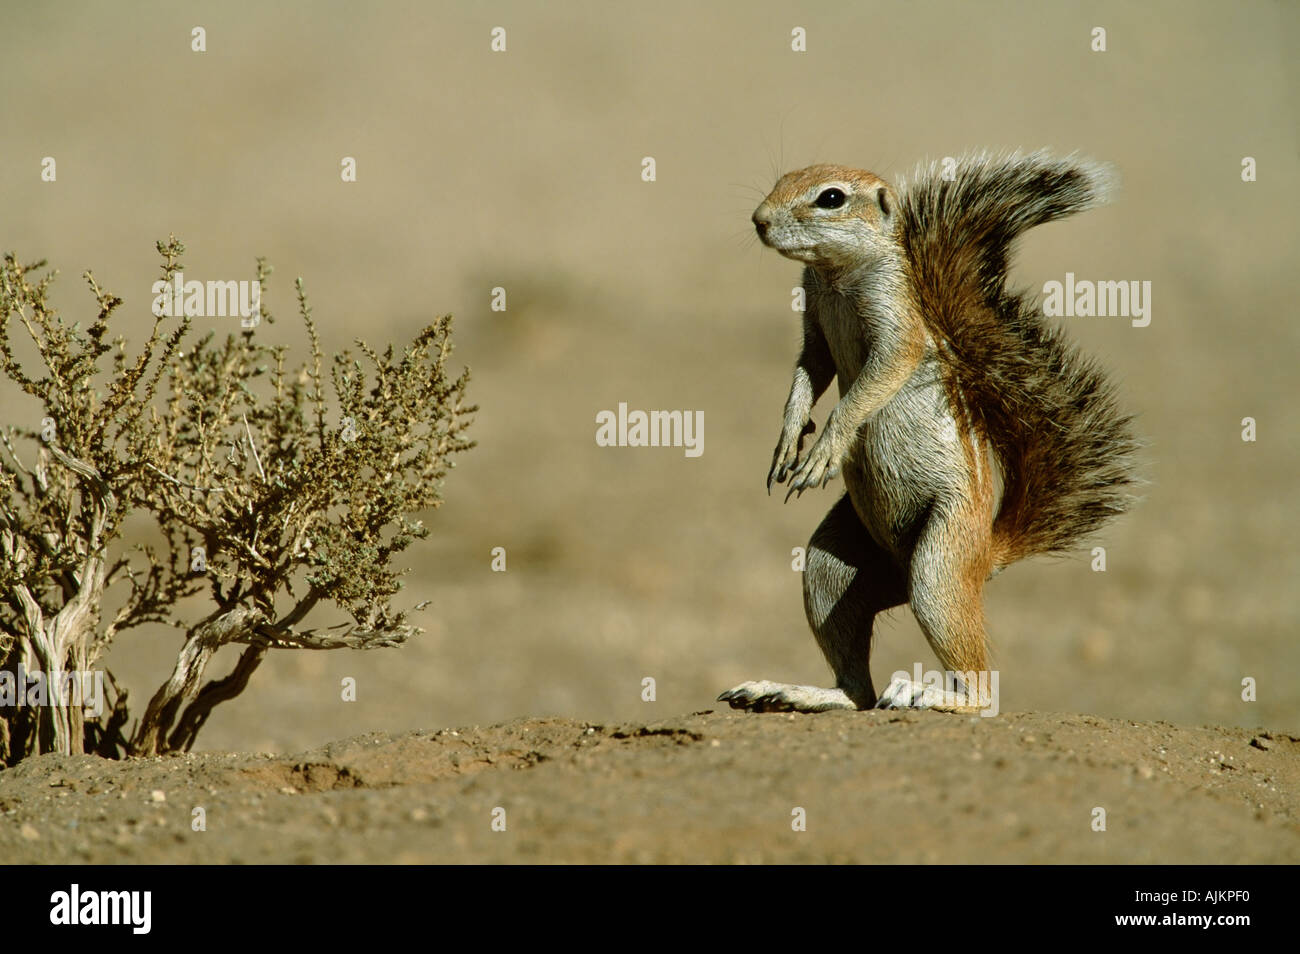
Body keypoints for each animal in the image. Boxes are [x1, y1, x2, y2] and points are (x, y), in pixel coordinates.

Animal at [719, 151, 1139, 713]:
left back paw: (928, 694)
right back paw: (793, 692)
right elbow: (808, 376)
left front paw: (825, 449)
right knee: (857, 689)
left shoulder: (899, 329)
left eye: (831, 198)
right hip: (829, 568)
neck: (835, 277)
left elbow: (871, 384)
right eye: (783, 179)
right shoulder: (813, 326)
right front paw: (788, 439)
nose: (759, 220)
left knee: (983, 691)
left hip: (940, 562)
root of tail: (988, 553)